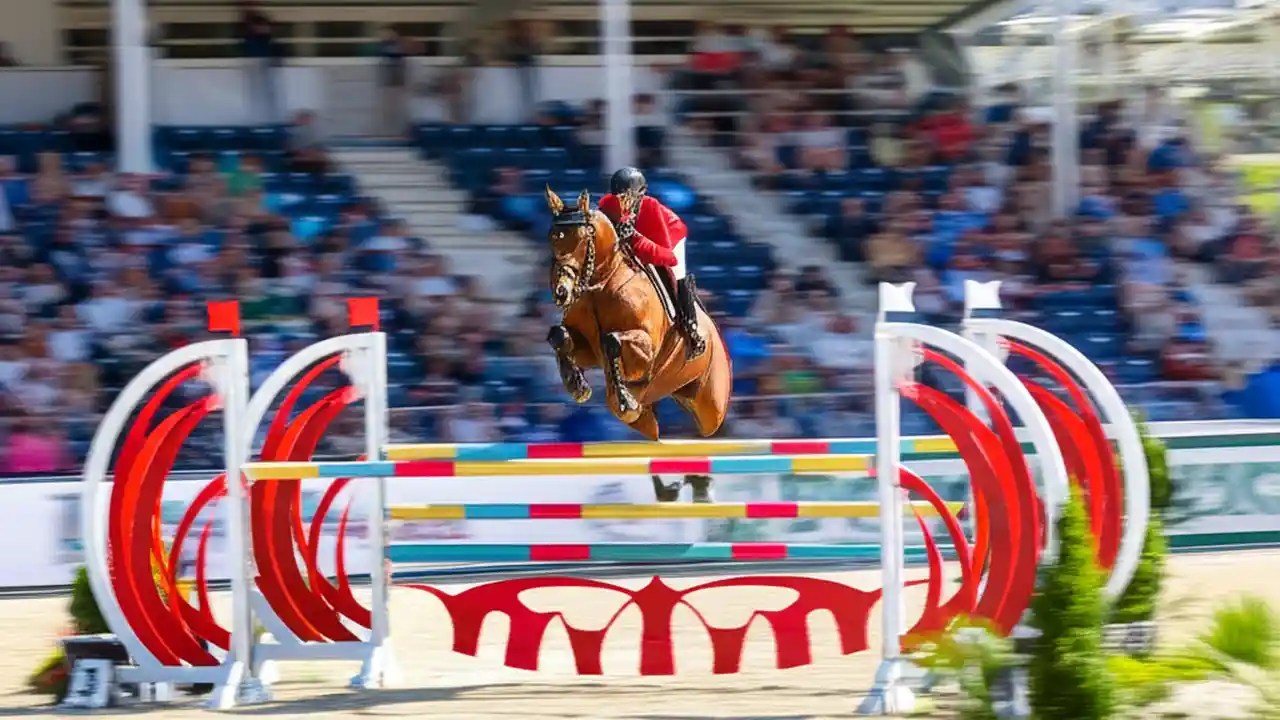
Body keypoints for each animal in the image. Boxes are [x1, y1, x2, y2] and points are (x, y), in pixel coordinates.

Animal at [543, 187, 732, 444]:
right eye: (552, 236)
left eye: (584, 238)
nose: (562, 292)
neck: (601, 284)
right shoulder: (589, 350)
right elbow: (559, 335)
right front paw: (576, 384)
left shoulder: (646, 350)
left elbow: (611, 340)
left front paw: (625, 401)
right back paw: (645, 419)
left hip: (712, 404)